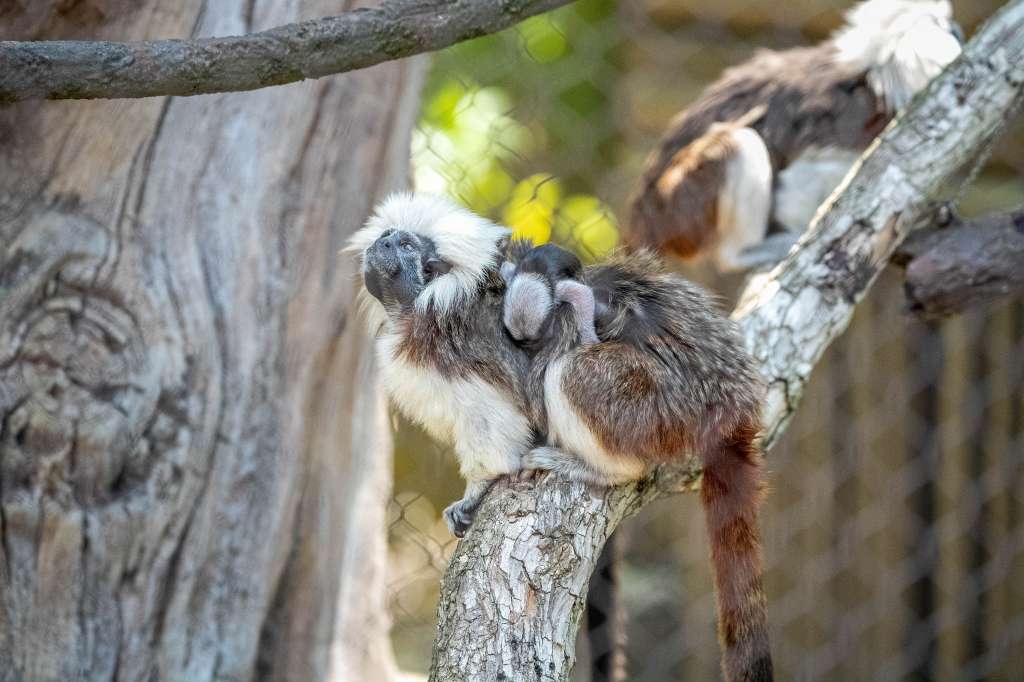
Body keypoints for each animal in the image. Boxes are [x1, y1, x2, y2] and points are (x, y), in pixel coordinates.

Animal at [627, 0, 963, 272]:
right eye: (950, 29)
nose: (959, 31)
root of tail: (644, 220)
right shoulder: (847, 134)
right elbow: (801, 179)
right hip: (680, 208)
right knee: (741, 142)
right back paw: (745, 253)